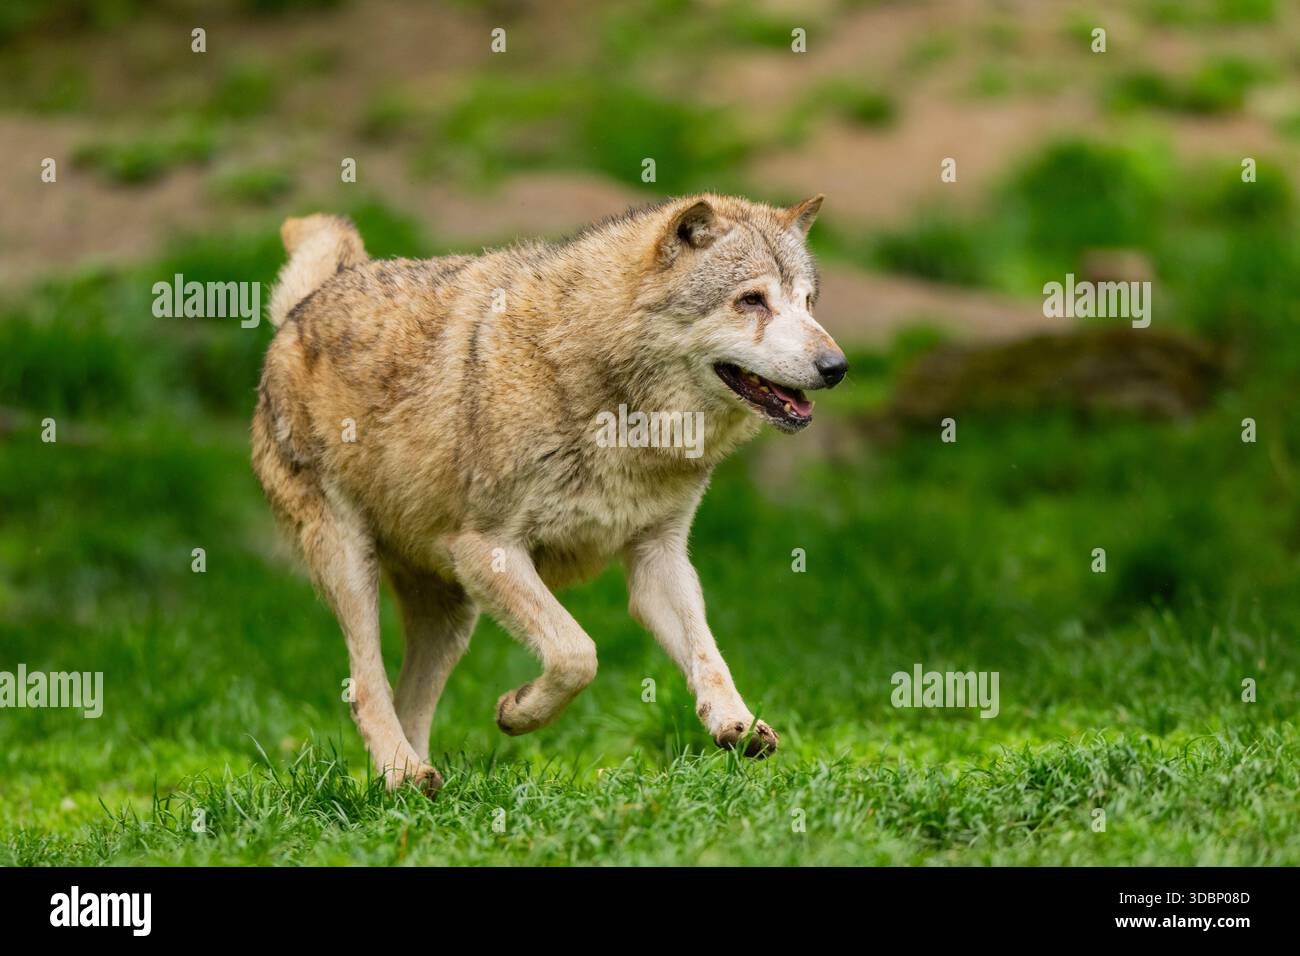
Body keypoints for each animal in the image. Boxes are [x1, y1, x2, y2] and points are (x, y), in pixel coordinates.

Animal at [251, 194, 847, 794]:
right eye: (752, 300)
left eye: (808, 302)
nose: (837, 367)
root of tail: (304, 304)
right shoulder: (487, 551)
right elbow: (577, 653)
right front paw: (517, 712)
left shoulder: (660, 560)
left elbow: (709, 655)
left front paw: (737, 725)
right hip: (356, 569)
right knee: (364, 686)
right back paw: (402, 775)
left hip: (451, 616)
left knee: (408, 702)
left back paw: (418, 787)